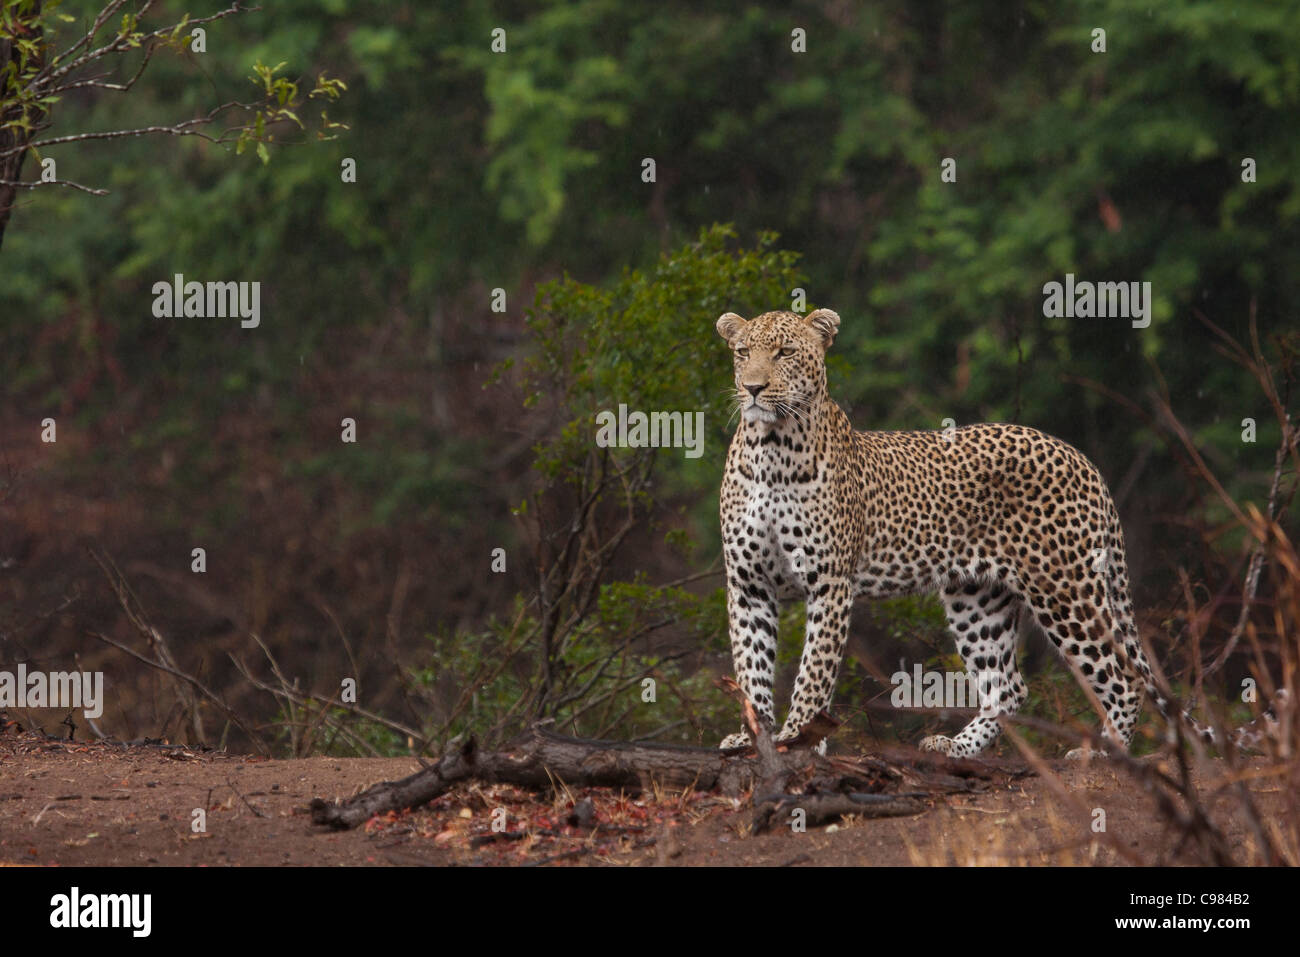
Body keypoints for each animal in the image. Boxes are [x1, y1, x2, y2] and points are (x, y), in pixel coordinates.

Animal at [714, 307, 1280, 759]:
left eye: (785, 351)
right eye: (742, 353)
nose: (754, 388)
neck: (771, 449)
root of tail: (1083, 459)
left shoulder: (829, 583)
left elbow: (814, 671)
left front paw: (796, 738)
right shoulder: (748, 583)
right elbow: (751, 664)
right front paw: (754, 738)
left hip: (1064, 589)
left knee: (1122, 679)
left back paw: (1105, 753)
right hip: (977, 597)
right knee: (1007, 688)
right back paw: (956, 747)